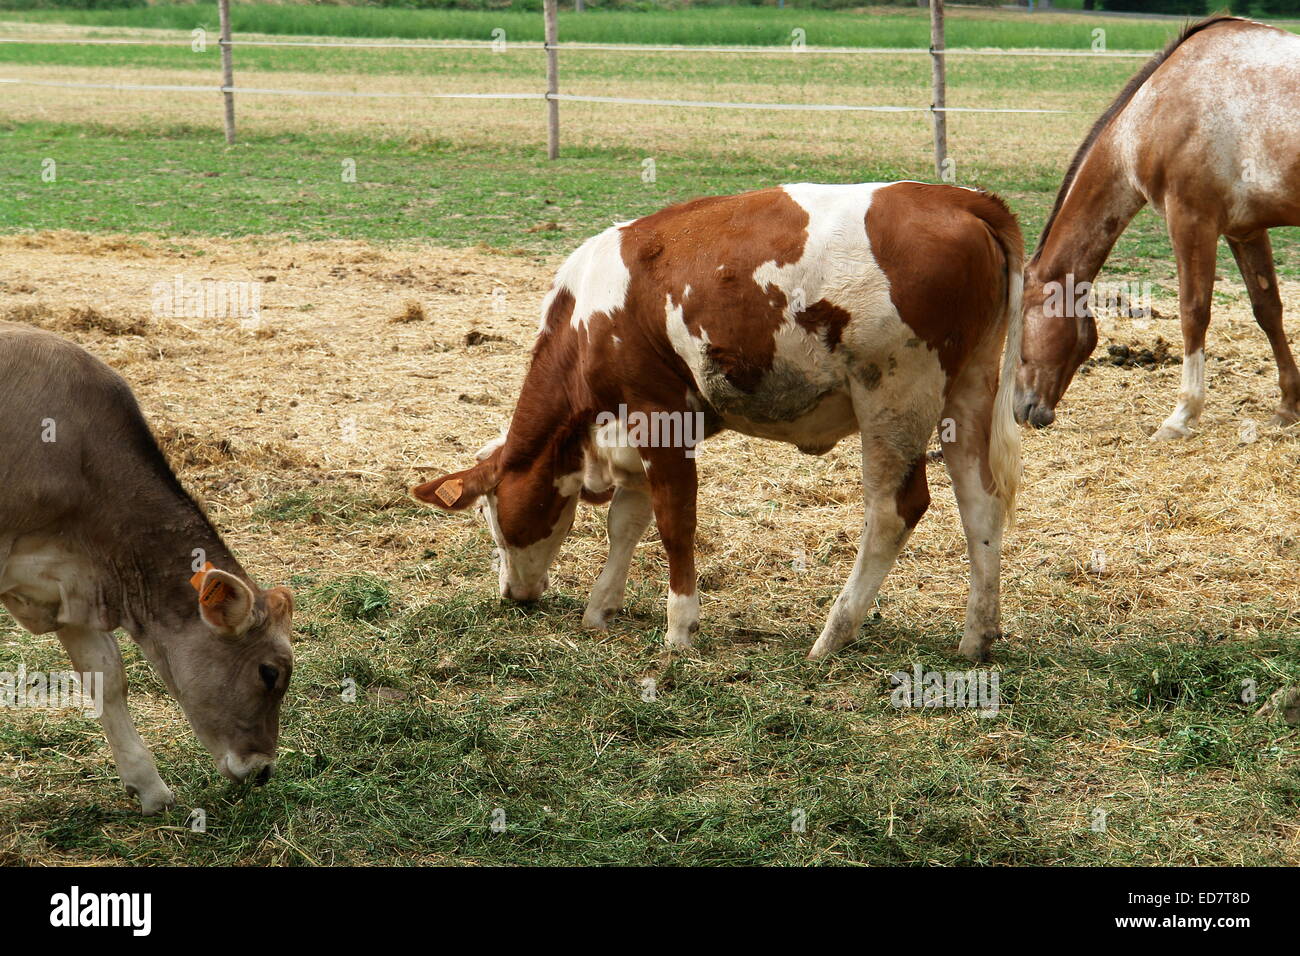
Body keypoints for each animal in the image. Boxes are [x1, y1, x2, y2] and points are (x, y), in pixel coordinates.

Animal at [415, 182, 1023, 662]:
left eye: (493, 516)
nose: (512, 595)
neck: (590, 315)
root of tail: (962, 199)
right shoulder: (640, 431)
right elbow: (626, 521)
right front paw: (600, 608)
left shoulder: (659, 416)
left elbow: (673, 522)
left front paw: (679, 628)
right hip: (968, 389)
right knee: (981, 501)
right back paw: (977, 635)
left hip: (894, 396)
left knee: (895, 510)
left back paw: (833, 634)